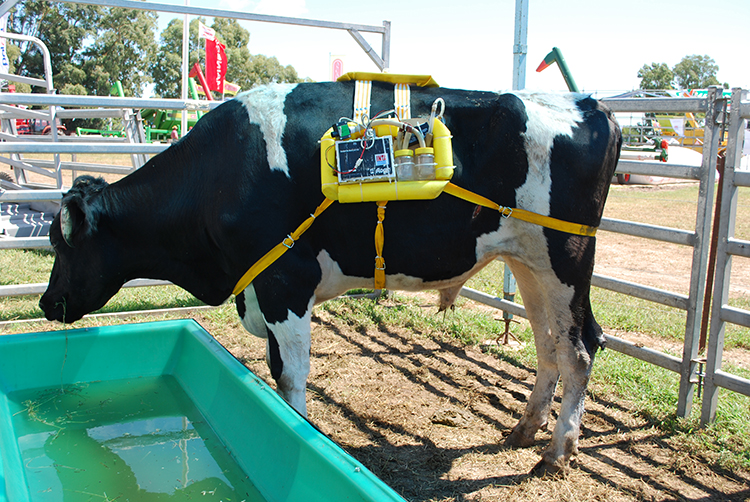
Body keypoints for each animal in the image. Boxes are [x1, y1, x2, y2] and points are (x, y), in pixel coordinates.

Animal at [39, 80, 622, 475]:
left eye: (59, 243)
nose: (47, 303)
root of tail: (590, 105)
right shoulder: (266, 291)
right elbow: (277, 370)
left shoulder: (285, 281)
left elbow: (293, 375)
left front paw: (295, 434)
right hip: (529, 263)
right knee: (549, 344)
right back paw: (524, 429)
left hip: (566, 256)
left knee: (581, 347)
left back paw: (558, 452)